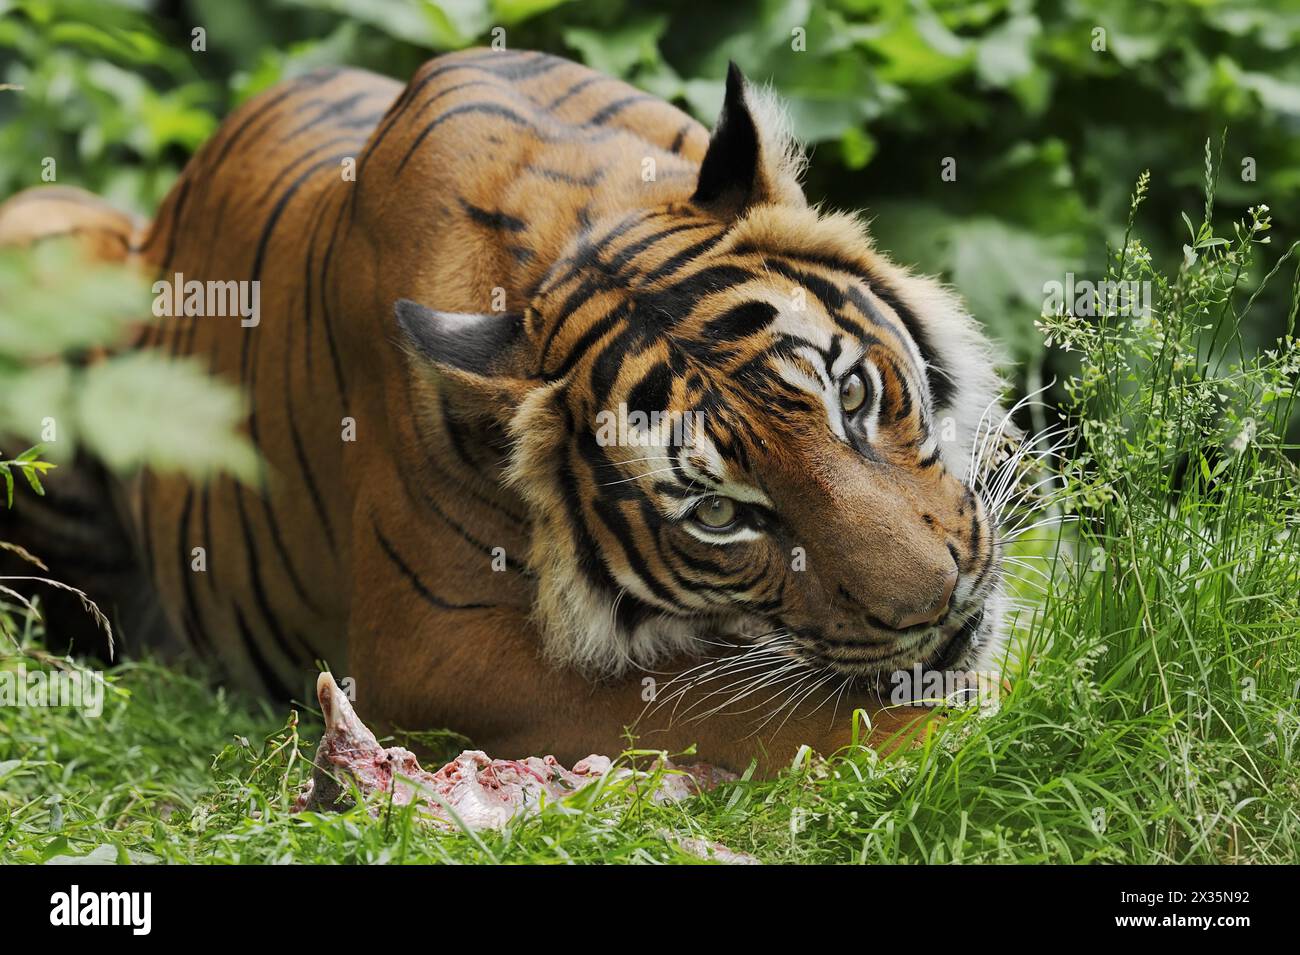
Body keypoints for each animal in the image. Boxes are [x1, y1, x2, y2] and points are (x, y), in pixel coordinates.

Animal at [0, 47, 1013, 774]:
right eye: (720, 513)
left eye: (853, 395)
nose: (936, 599)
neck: (576, 223)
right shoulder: (434, 650)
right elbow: (782, 708)